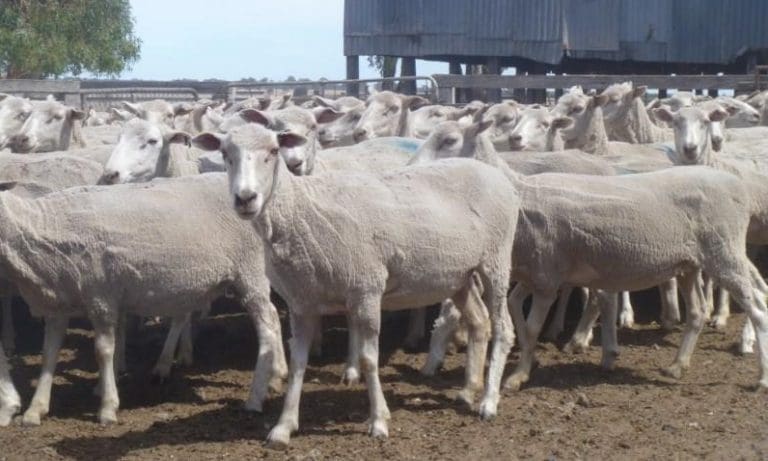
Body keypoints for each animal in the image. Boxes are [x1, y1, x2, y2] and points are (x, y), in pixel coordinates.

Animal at [0, 173, 287, 426]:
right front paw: (35, 410)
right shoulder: (58, 303)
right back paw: (276, 375)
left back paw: (258, 394)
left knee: (269, 324)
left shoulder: (101, 297)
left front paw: (107, 407)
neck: (45, 226)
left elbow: (103, 350)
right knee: (271, 319)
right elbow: (49, 355)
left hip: (250, 270)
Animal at [192, 123, 521, 446]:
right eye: (225, 154)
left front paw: (379, 421)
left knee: (503, 328)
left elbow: (368, 359)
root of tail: (493, 173)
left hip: (496, 261)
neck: (302, 211)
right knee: (479, 322)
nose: (245, 198)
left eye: (273, 151)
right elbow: (298, 362)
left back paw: (489, 401)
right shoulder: (301, 303)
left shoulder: (367, 288)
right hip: (459, 275)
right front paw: (283, 426)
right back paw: (468, 390)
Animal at [411, 120, 768, 395]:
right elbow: (516, 310)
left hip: (724, 252)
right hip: (690, 264)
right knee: (696, 312)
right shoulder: (535, 274)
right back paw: (677, 366)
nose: (408, 169)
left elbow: (533, 326)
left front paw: (517, 376)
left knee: (757, 308)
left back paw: (761, 376)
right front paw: (530, 359)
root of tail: (736, 184)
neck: (520, 193)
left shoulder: (545, 279)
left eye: (449, 140)